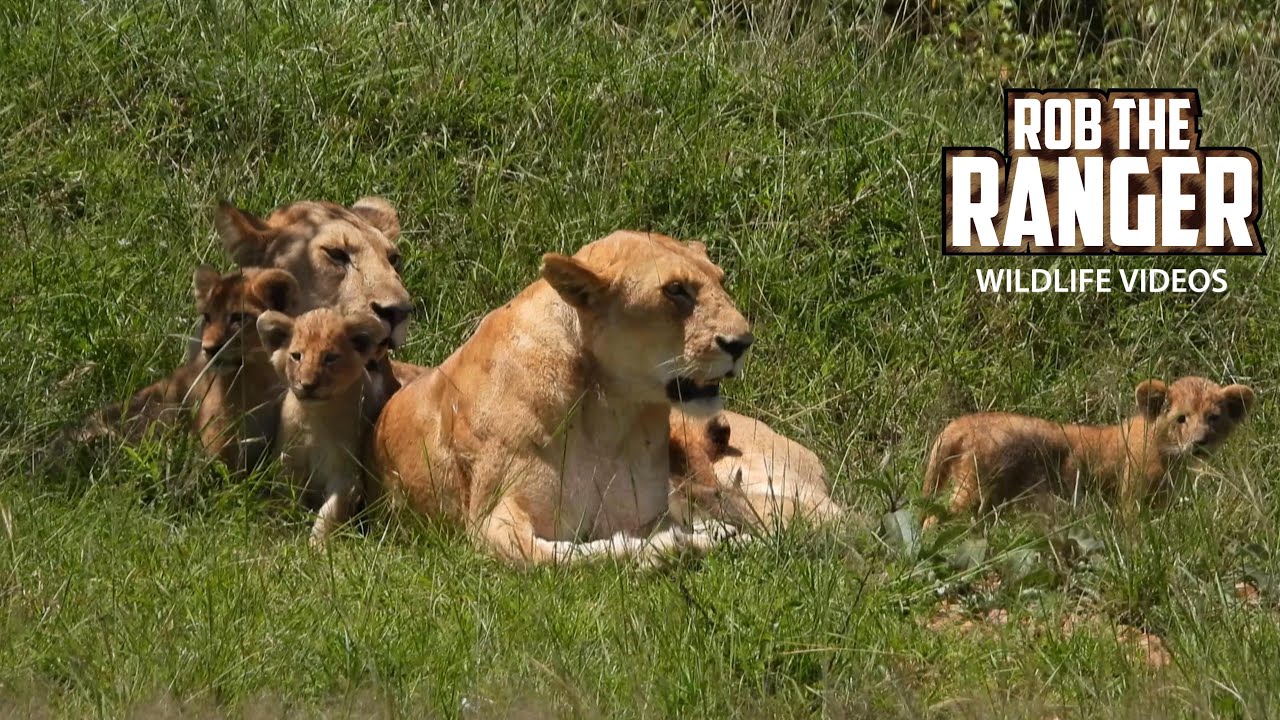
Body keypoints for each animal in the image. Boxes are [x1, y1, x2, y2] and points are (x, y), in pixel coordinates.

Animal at [258, 308, 388, 546]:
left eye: (330, 358)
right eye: (296, 356)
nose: (308, 385)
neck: (316, 416)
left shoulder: (347, 475)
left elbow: (330, 512)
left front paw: (316, 546)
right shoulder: (287, 462)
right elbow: (287, 500)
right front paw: (286, 533)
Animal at [370, 231, 754, 565]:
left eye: (722, 281)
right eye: (675, 290)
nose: (743, 342)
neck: (610, 416)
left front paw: (714, 537)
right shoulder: (491, 522)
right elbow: (570, 556)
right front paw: (669, 545)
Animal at [923, 376, 1255, 523]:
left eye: (1213, 418)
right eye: (1181, 418)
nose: (1200, 442)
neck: (1171, 457)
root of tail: (962, 422)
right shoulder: (1131, 497)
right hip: (975, 487)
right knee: (940, 515)